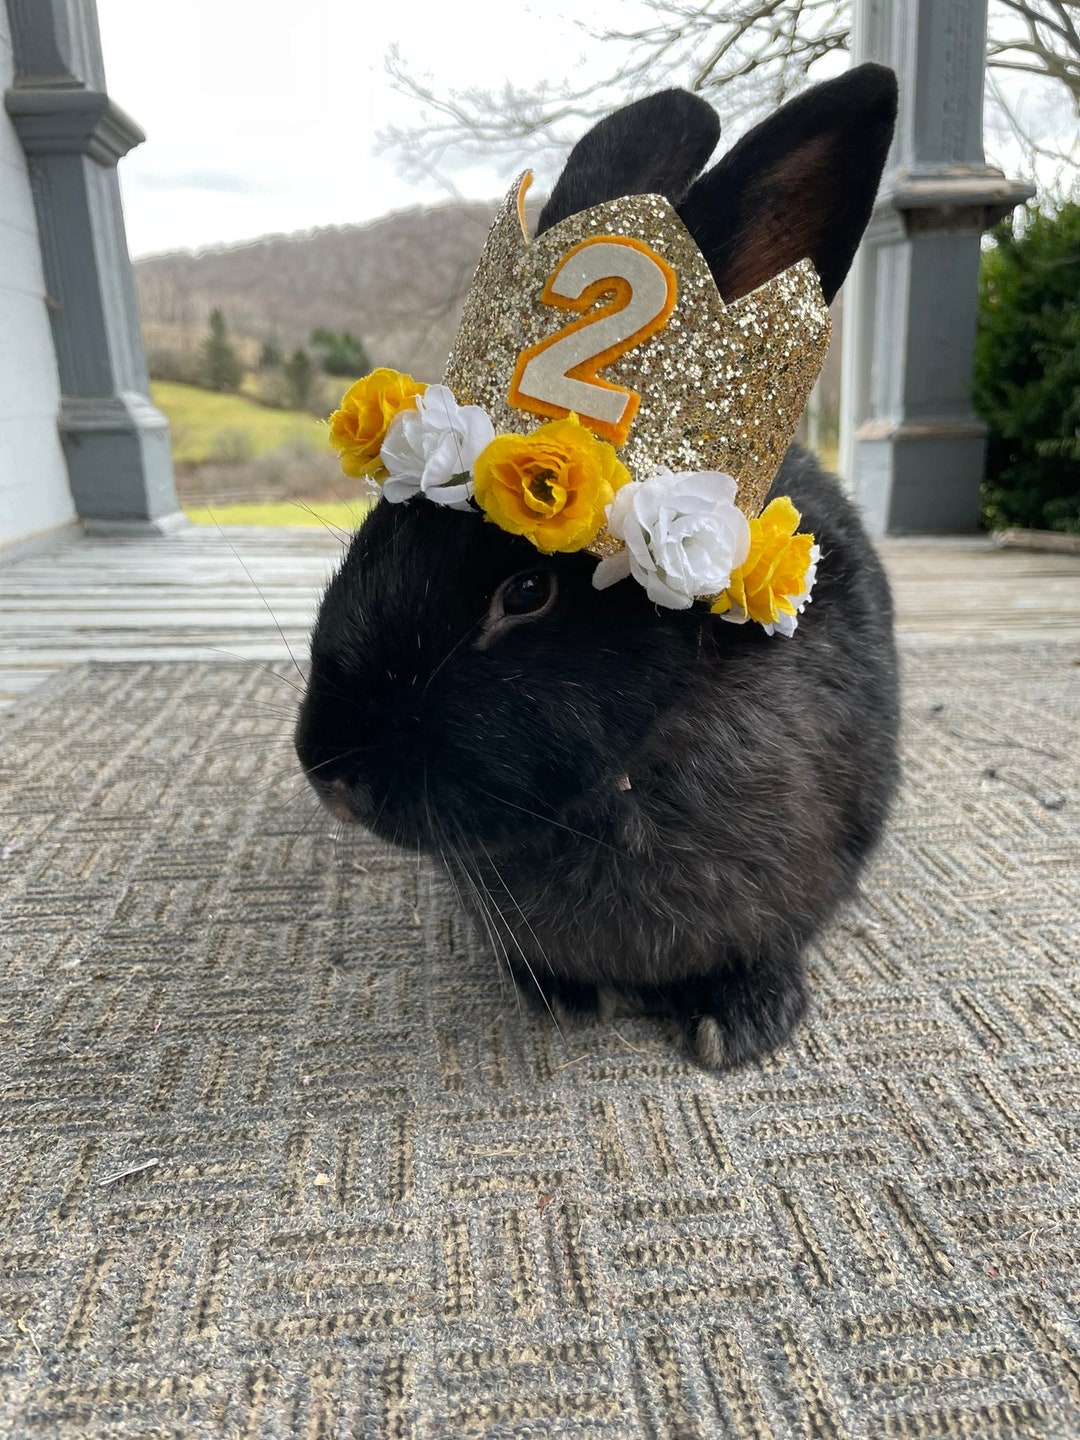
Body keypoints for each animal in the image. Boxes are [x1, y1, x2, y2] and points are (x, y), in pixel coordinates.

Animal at [294, 63, 901, 1069]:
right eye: (372, 535)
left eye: (527, 590)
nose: (327, 771)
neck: (623, 777)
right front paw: (568, 996)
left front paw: (741, 1023)